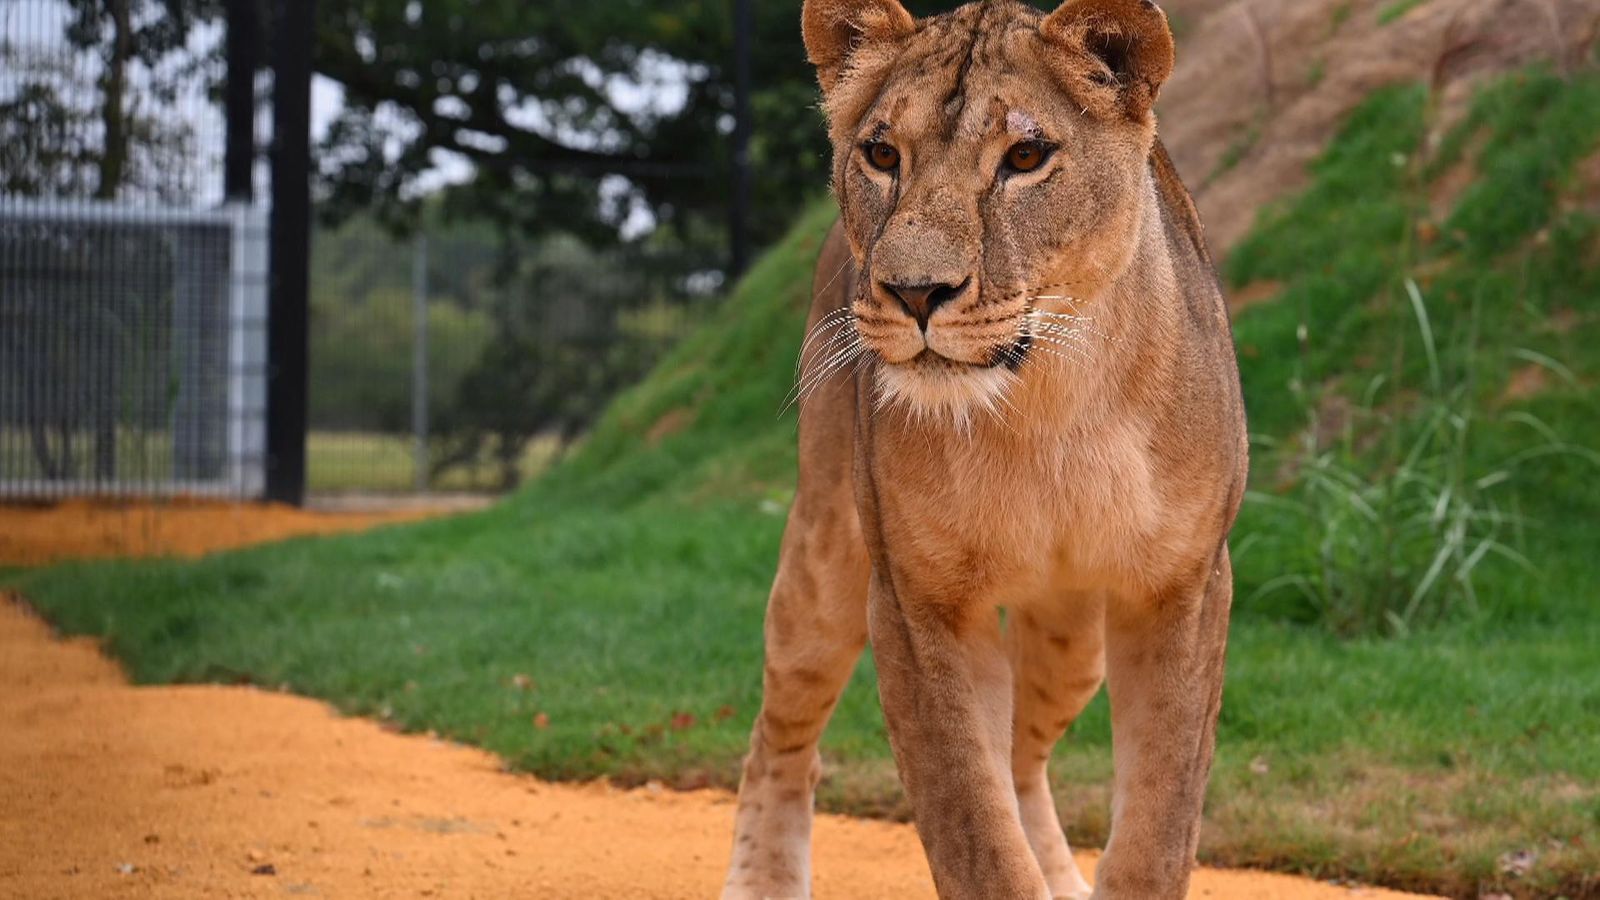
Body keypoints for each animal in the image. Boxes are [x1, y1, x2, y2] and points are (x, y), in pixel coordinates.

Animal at [721, 1, 1247, 897]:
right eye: (882, 154)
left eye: (1026, 157)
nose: (914, 292)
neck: (1044, 413)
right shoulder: (917, 603)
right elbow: (976, 833)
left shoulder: (1182, 589)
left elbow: (1158, 830)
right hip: (825, 565)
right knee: (780, 739)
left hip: (1075, 639)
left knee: (1023, 756)